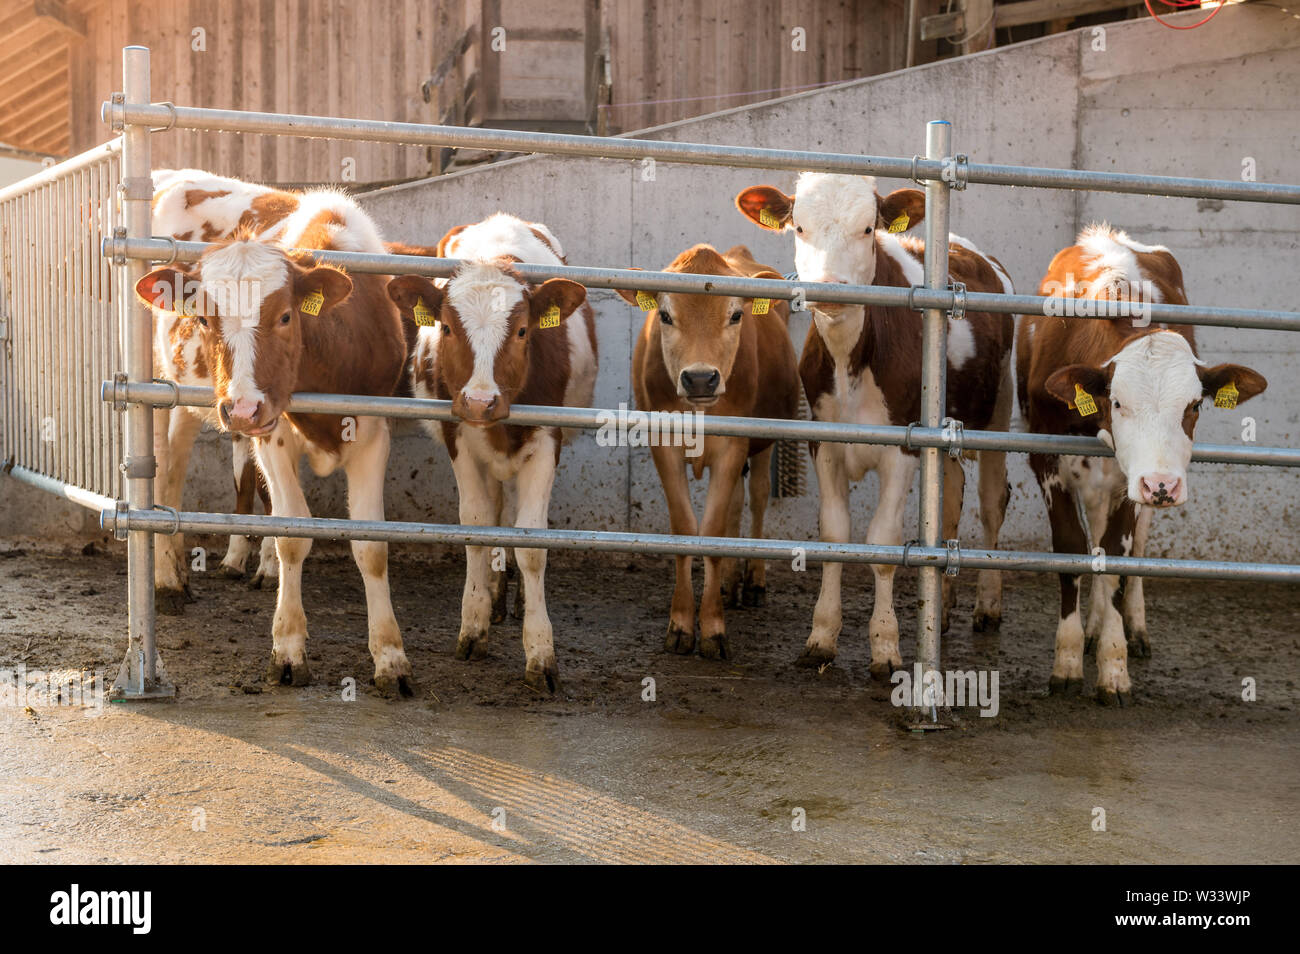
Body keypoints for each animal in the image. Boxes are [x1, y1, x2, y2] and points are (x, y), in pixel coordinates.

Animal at [134, 194, 414, 696]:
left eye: (285, 316)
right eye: (204, 317)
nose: (243, 410)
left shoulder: (372, 434)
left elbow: (372, 546)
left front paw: (390, 657)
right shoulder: (273, 434)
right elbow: (292, 532)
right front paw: (287, 649)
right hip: (166, 394)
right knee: (167, 474)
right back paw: (167, 581)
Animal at [385, 214, 596, 692]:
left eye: (522, 331)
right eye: (446, 328)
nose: (481, 402)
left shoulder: (547, 439)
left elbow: (532, 542)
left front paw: (540, 652)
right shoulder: (458, 437)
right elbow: (478, 524)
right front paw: (474, 625)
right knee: (498, 509)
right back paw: (497, 599)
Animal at [614, 244, 801, 659]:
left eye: (736, 315)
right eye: (665, 315)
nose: (700, 378)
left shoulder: (734, 445)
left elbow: (713, 532)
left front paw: (713, 628)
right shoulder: (663, 446)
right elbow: (686, 529)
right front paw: (682, 624)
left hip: (763, 443)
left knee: (757, 497)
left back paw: (753, 583)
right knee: (734, 504)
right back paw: (730, 584)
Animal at [736, 173, 1016, 679]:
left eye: (868, 228)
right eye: (799, 227)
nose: (830, 287)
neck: (853, 358)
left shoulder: (902, 446)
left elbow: (882, 542)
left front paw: (885, 645)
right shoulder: (824, 443)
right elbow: (834, 533)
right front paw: (822, 636)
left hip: (999, 411)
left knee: (991, 502)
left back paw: (987, 605)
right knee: (951, 495)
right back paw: (943, 611)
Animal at [1019, 225, 1267, 704]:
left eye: (1194, 405)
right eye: (1117, 402)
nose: (1162, 485)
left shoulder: (1129, 482)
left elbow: (1118, 557)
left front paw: (1114, 666)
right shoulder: (1046, 461)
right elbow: (1071, 549)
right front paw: (1067, 660)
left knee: (1133, 546)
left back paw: (1128, 628)